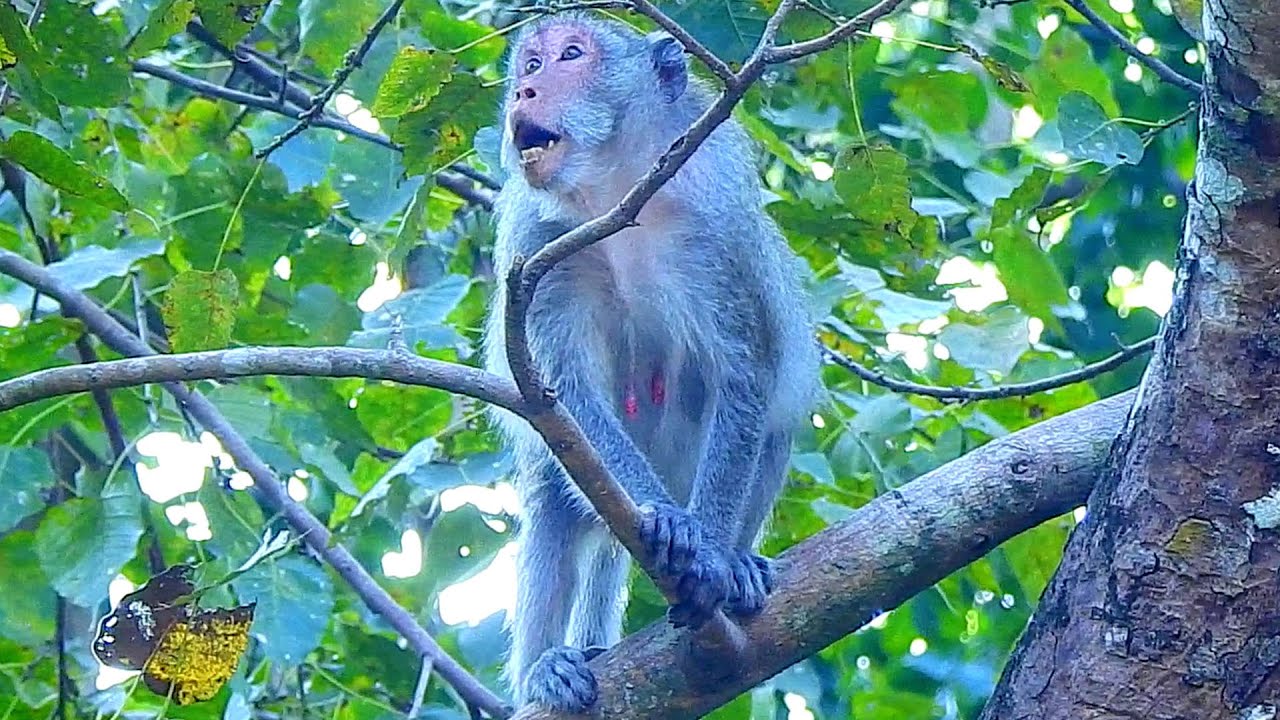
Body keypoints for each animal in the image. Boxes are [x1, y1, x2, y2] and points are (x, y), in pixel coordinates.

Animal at [481, 12, 820, 713]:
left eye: (572, 55)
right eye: (531, 64)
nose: (523, 92)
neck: (612, 200)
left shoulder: (717, 239)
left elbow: (744, 379)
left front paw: (713, 556)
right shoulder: (538, 254)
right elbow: (566, 398)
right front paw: (666, 520)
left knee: (772, 436)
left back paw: (739, 563)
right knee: (552, 510)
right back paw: (545, 667)